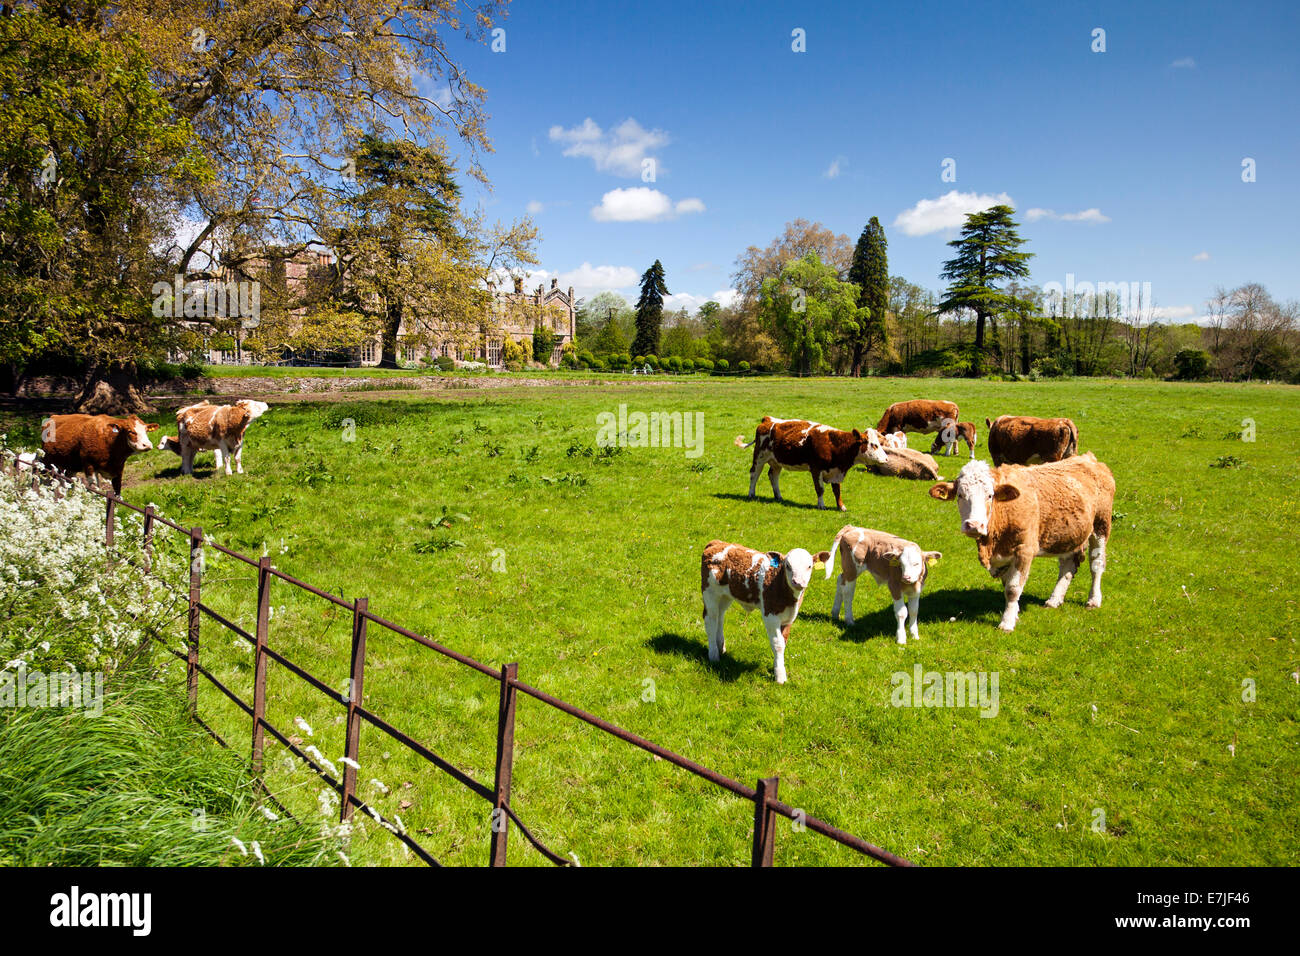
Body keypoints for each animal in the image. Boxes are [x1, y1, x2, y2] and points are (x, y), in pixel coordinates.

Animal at [701, 540, 830, 684]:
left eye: (809, 566)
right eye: (787, 566)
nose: (798, 582)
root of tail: (716, 543)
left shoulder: (789, 618)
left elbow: (783, 642)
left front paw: (777, 667)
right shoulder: (771, 616)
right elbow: (778, 644)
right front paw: (780, 676)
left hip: (725, 595)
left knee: (720, 617)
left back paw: (721, 647)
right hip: (710, 593)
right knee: (711, 620)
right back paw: (713, 655)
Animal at [734, 416, 888, 510]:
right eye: (873, 445)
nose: (886, 459)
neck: (834, 444)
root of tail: (768, 419)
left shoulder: (835, 470)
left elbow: (837, 490)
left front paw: (841, 506)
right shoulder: (816, 469)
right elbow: (820, 489)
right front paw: (821, 505)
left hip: (776, 461)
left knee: (773, 475)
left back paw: (779, 496)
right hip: (759, 456)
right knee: (754, 474)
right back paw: (751, 494)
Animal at [928, 454, 1115, 632]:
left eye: (990, 495)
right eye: (960, 495)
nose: (974, 525)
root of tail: (1089, 459)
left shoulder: (1025, 550)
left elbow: (1013, 588)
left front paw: (1007, 622)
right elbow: (1007, 585)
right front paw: (1014, 613)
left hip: (1101, 526)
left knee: (1096, 564)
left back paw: (1094, 599)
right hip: (1068, 534)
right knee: (1067, 565)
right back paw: (1054, 599)